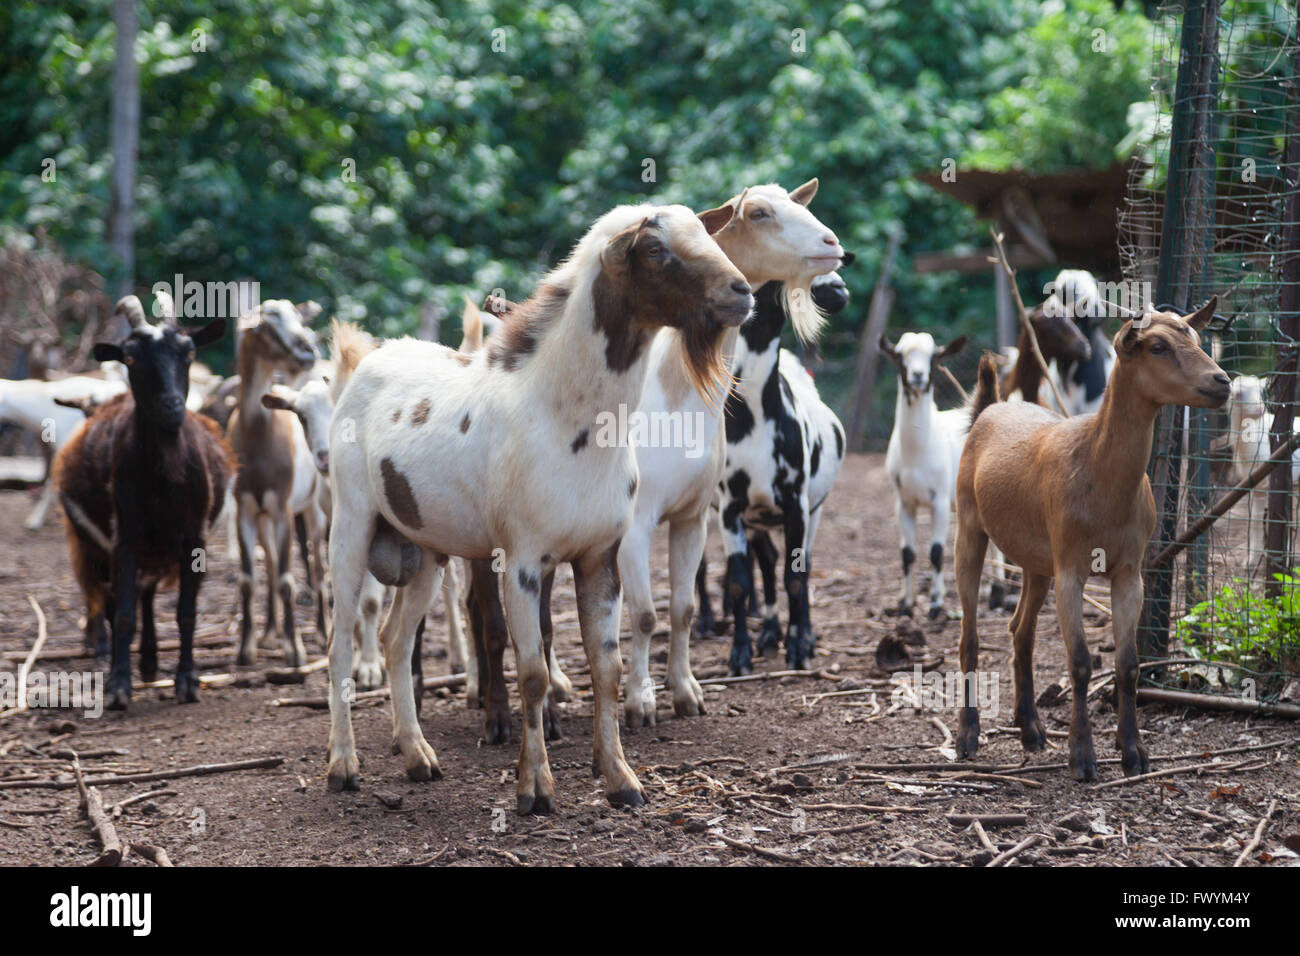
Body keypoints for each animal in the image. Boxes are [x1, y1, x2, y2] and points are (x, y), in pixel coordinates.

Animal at [53, 293, 233, 708]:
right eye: (131, 358)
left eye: (189, 351)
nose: (172, 406)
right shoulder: (125, 535)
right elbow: (122, 614)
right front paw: (119, 685)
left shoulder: (194, 537)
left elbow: (186, 612)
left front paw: (188, 681)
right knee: (121, 598)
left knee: (147, 593)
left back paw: (151, 664)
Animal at [226, 300, 321, 669]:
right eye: (267, 327)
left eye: (299, 318)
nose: (308, 352)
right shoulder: (245, 509)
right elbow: (249, 579)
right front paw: (245, 649)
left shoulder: (282, 508)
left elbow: (285, 579)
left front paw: (295, 651)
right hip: (264, 517)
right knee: (267, 560)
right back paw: (269, 633)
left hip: (313, 506)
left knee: (318, 563)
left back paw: (320, 632)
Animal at [325, 202, 752, 814]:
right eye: (654, 250)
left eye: (704, 233)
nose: (741, 292)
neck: (561, 414)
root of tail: (363, 363)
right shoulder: (522, 561)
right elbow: (531, 672)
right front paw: (535, 788)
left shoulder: (600, 556)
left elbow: (606, 668)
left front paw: (621, 779)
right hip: (351, 526)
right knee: (341, 644)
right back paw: (343, 765)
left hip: (426, 551)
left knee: (394, 639)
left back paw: (417, 756)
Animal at [955, 299, 1229, 780]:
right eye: (1158, 346)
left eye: (1197, 338)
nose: (1222, 381)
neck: (1099, 474)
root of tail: (989, 409)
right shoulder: (1071, 566)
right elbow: (1081, 662)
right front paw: (1082, 757)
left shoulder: (1130, 570)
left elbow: (1129, 662)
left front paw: (1134, 752)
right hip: (969, 524)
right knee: (969, 636)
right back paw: (968, 737)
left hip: (1036, 558)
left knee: (1020, 630)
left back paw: (1032, 731)